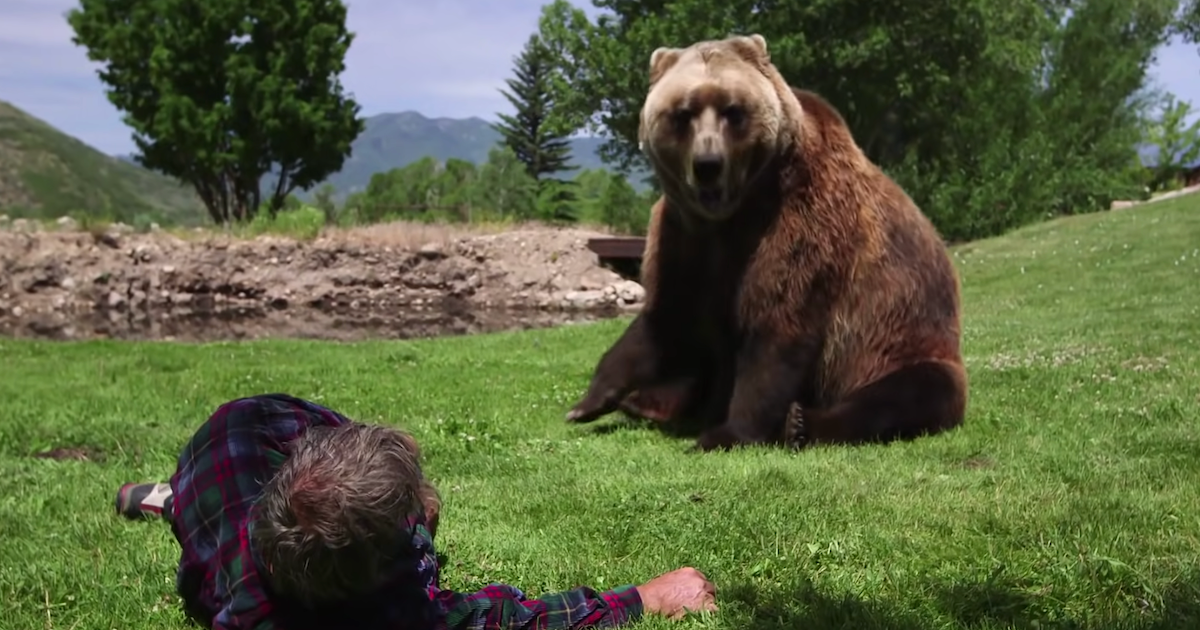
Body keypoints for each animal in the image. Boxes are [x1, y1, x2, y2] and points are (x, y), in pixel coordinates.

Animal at [564, 33, 969, 453]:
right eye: (682, 113)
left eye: (733, 110)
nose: (708, 164)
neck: (730, 215)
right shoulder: (682, 234)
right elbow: (667, 317)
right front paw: (588, 402)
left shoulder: (803, 225)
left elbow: (777, 332)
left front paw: (724, 433)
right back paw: (646, 403)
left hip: (902, 343)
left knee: (908, 392)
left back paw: (799, 423)